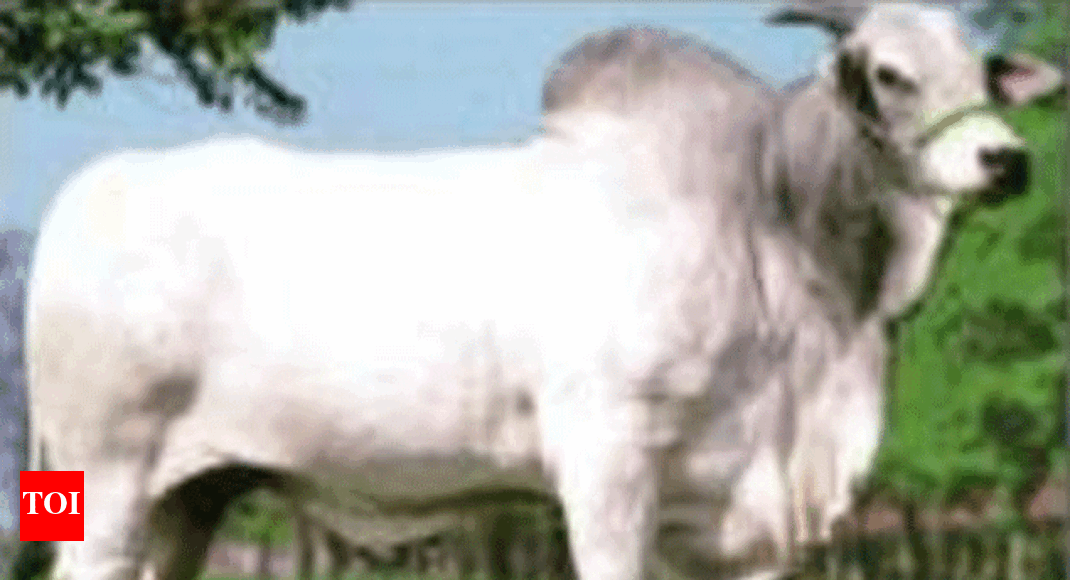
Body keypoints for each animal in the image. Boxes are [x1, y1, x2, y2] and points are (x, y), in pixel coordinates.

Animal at [20, 4, 1062, 580]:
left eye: (982, 71)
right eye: (889, 73)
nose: (1006, 160)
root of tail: (86, 195)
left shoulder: (730, 516)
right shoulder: (607, 460)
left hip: (190, 495)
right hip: (107, 482)